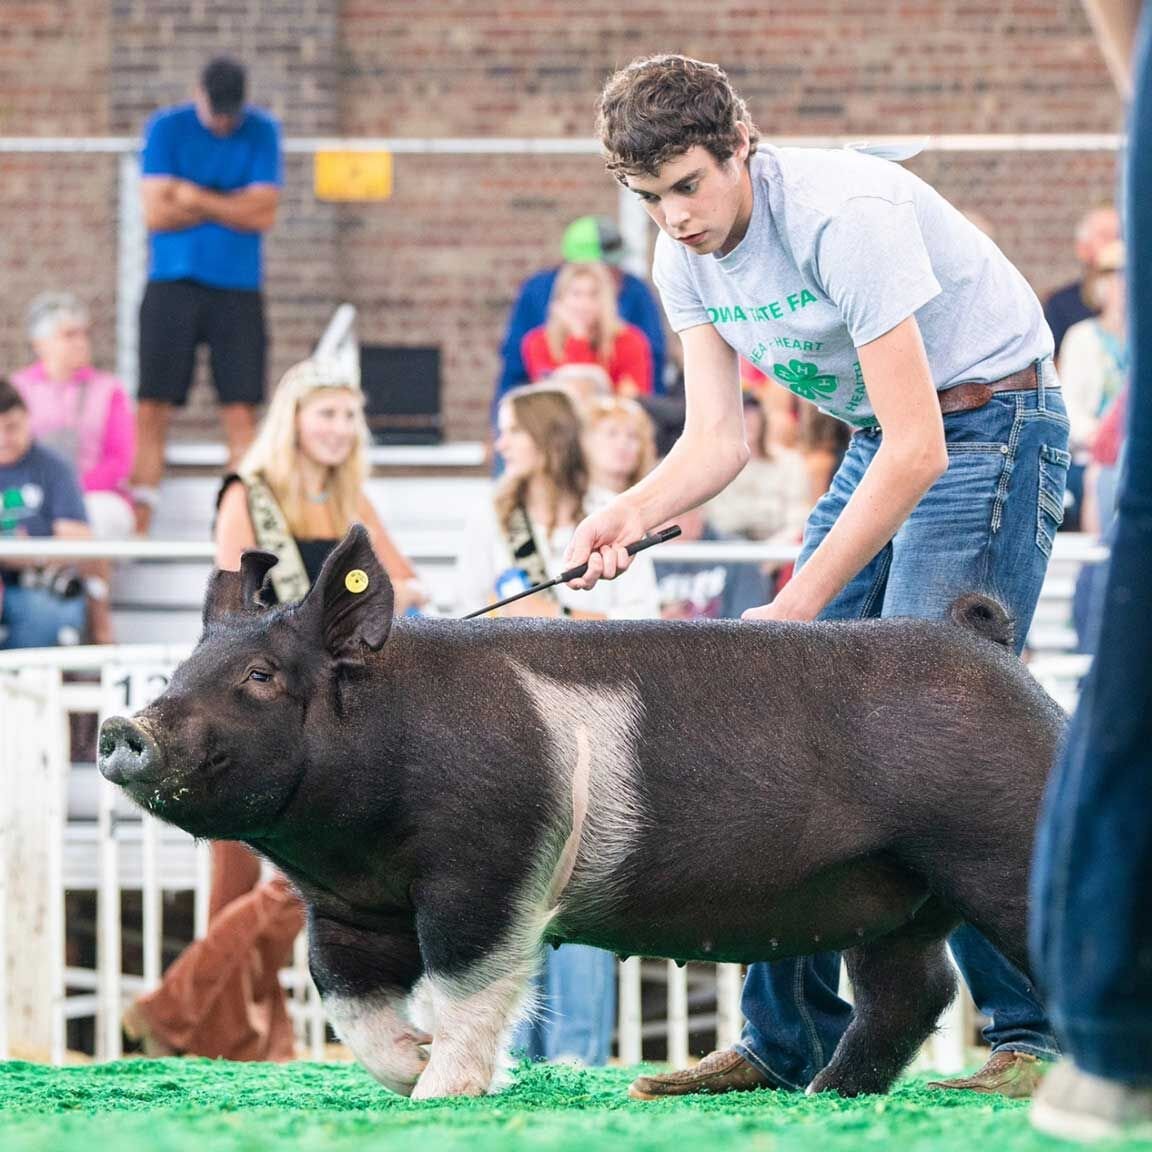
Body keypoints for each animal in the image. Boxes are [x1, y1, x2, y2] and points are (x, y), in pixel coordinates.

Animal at [98, 525, 1065, 1100]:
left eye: (260, 676)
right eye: (180, 670)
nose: (121, 727)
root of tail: (984, 638)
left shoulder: (485, 870)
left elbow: (469, 983)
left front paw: (448, 1090)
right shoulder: (347, 909)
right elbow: (345, 1000)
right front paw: (412, 1065)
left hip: (1000, 847)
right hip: (894, 893)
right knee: (917, 990)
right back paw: (826, 1096)